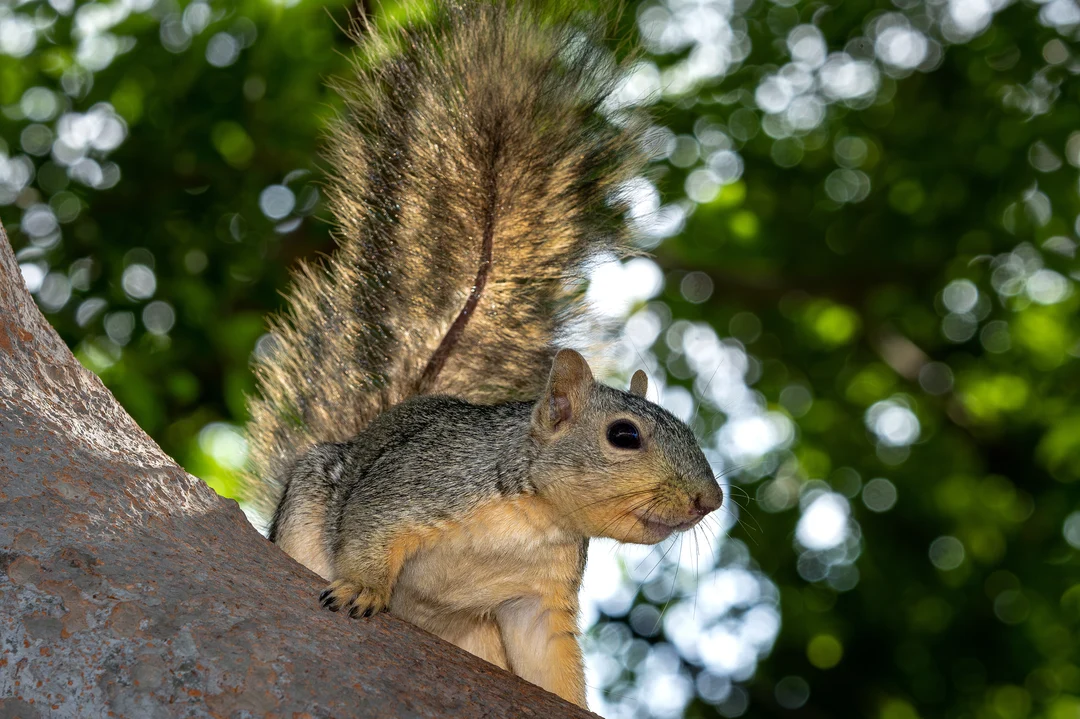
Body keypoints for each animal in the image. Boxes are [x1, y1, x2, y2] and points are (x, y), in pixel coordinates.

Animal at [243, 0, 723, 708]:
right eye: (624, 435)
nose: (708, 501)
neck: (536, 516)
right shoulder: (412, 487)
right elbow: (369, 532)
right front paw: (363, 587)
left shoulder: (537, 599)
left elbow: (551, 660)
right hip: (306, 506)